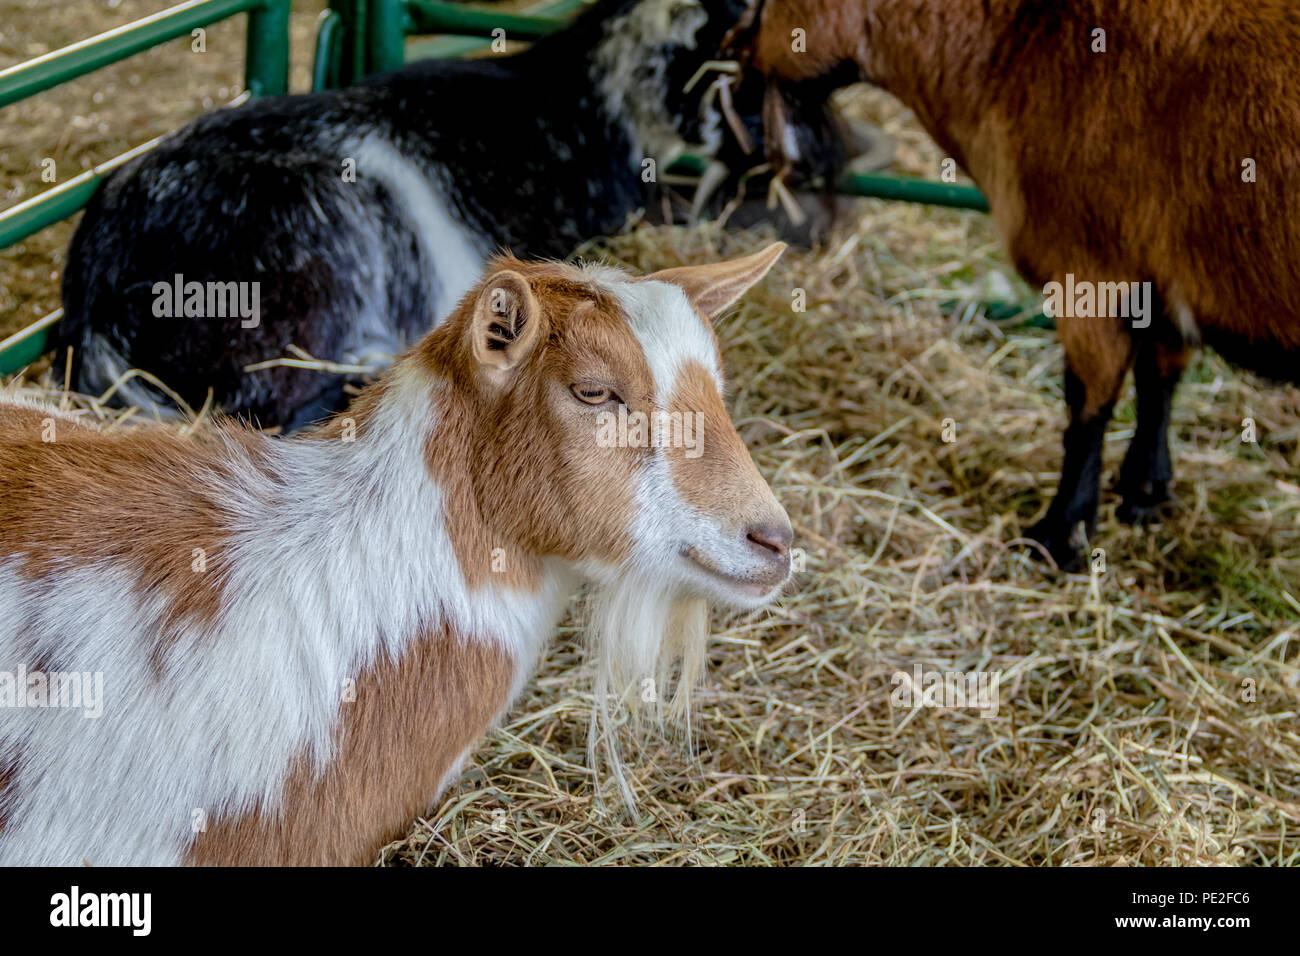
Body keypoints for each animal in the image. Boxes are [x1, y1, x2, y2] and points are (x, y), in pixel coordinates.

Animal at [736, 0, 1300, 568]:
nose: (736, 69)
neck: (1020, 41)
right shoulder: (1163, 279)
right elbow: (1159, 379)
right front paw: (1144, 495)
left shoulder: (1090, 267)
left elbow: (1088, 404)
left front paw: (1058, 537)